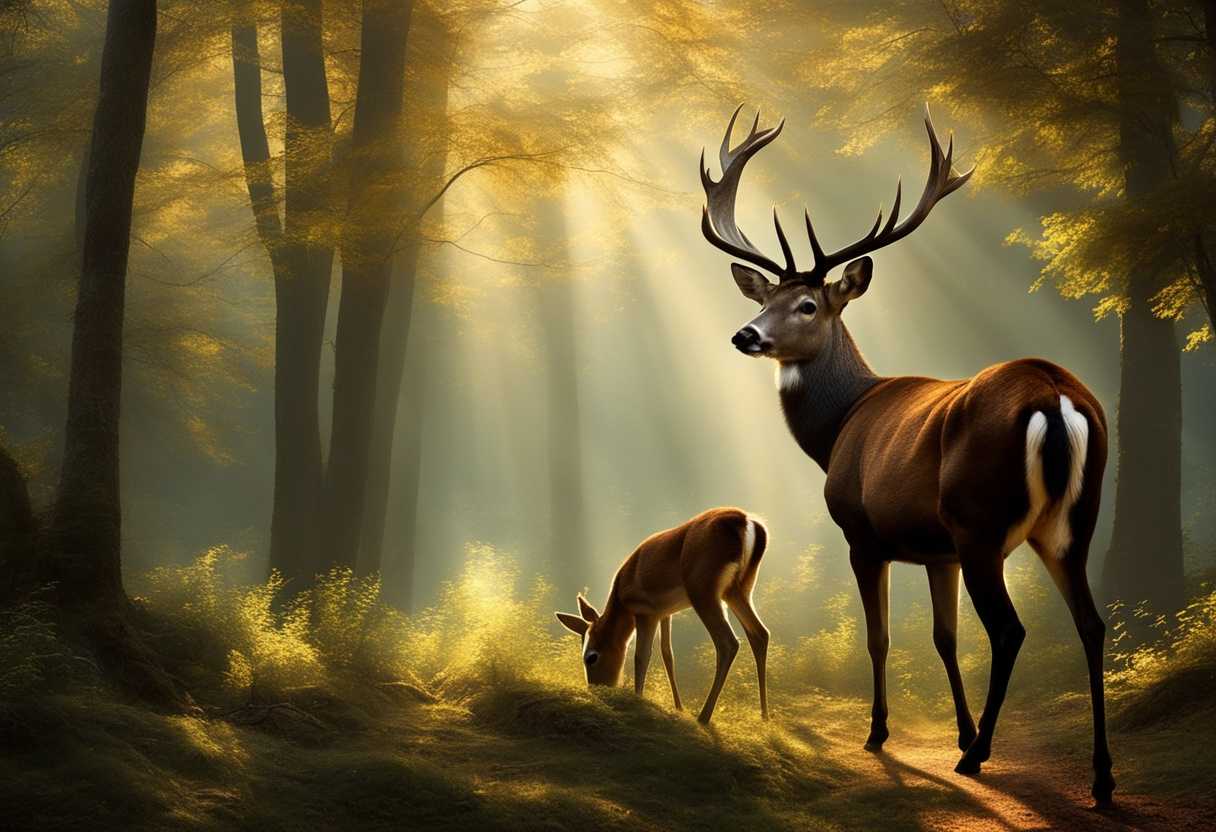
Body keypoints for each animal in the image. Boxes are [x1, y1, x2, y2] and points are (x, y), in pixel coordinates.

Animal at [555, 507, 770, 725]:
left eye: (591, 657)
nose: (598, 691)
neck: (621, 597)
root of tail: (744, 520)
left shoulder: (644, 612)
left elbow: (641, 656)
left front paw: (639, 702)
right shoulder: (665, 613)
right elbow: (668, 654)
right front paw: (678, 707)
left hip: (703, 590)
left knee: (728, 643)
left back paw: (703, 716)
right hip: (737, 589)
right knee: (760, 634)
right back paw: (764, 716)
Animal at [699, 105, 1114, 806]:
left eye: (806, 305)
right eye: (762, 299)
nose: (745, 334)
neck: (839, 426)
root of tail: (1055, 396)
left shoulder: (865, 533)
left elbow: (881, 635)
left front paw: (881, 732)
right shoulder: (937, 550)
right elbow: (944, 638)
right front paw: (957, 727)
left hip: (982, 521)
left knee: (1011, 629)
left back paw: (978, 758)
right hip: (1070, 522)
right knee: (1091, 622)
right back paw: (1102, 777)